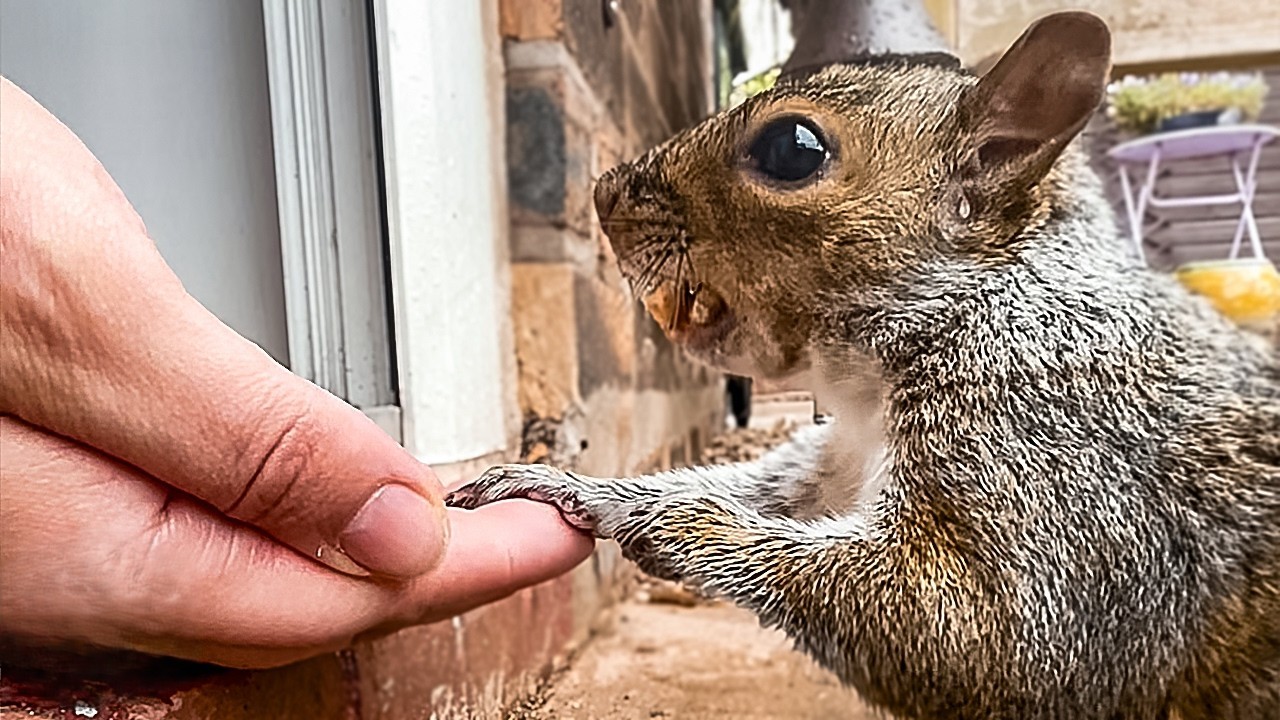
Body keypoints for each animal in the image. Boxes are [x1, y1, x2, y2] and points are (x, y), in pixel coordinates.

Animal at [448, 11, 1280, 719]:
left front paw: (663, 521)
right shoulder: (836, 457)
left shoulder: (1059, 458)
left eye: (793, 149)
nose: (602, 194)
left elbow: (991, 639)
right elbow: (767, 487)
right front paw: (579, 485)